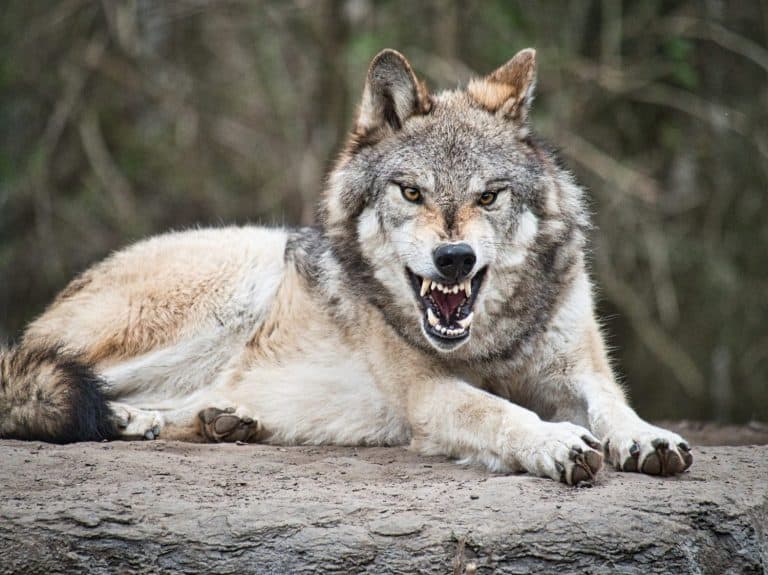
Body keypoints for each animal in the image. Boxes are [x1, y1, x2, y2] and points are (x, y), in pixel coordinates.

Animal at [0, 48, 692, 484]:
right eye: (411, 192)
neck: (489, 342)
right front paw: (553, 442)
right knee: (49, 380)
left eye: (489, 196)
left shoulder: (576, 366)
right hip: (238, 279)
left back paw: (216, 422)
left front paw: (646, 437)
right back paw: (130, 418)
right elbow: (497, 412)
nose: (454, 258)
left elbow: (611, 402)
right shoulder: (426, 395)